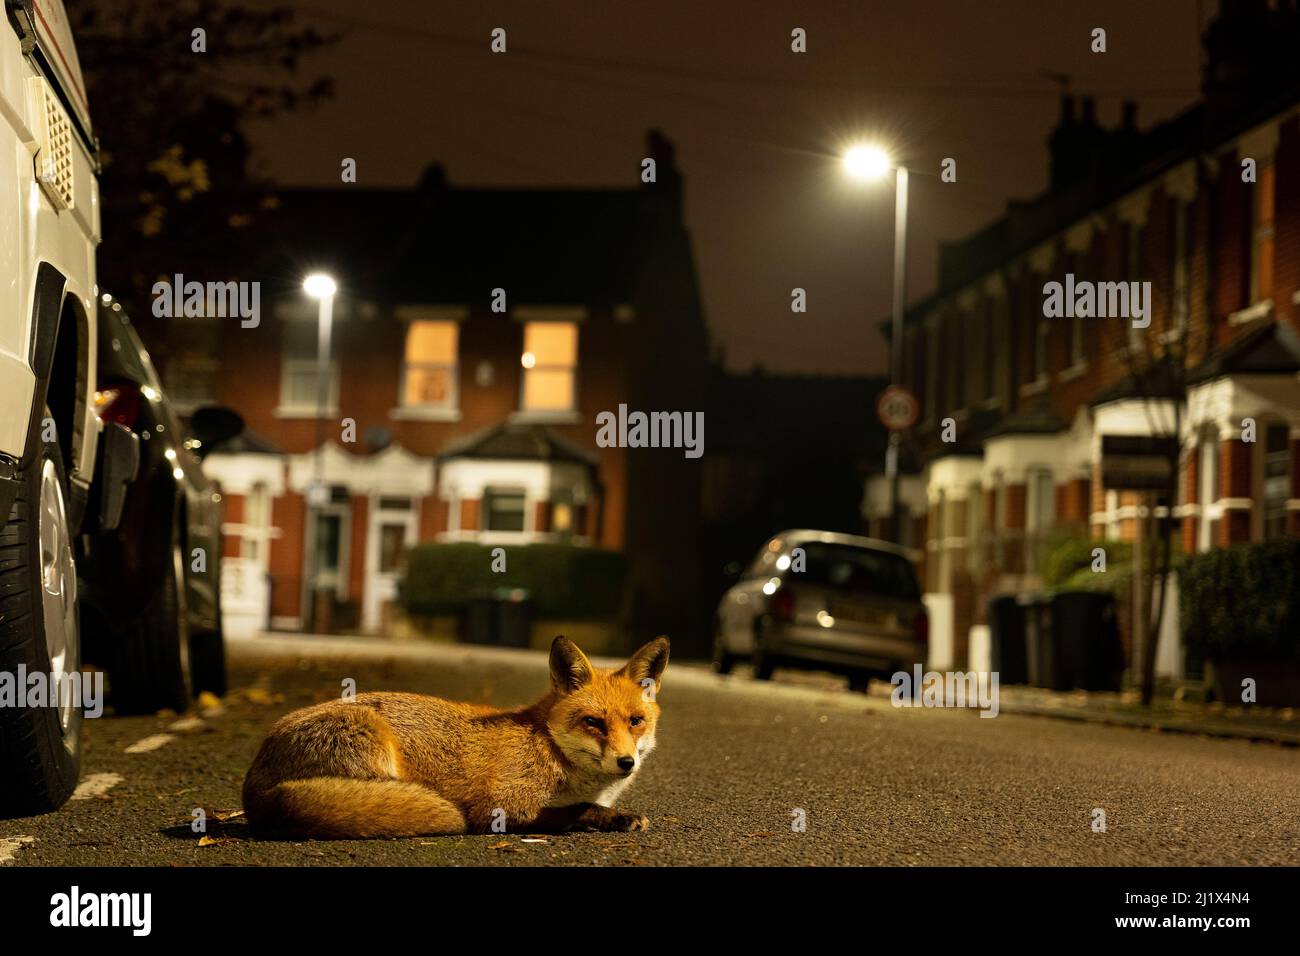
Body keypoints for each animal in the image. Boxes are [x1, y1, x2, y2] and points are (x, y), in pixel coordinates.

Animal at [242, 635, 669, 839]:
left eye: (636, 721)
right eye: (594, 722)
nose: (626, 762)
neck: (548, 745)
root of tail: (254, 788)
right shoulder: (499, 807)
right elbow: (574, 811)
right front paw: (615, 817)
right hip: (374, 741)